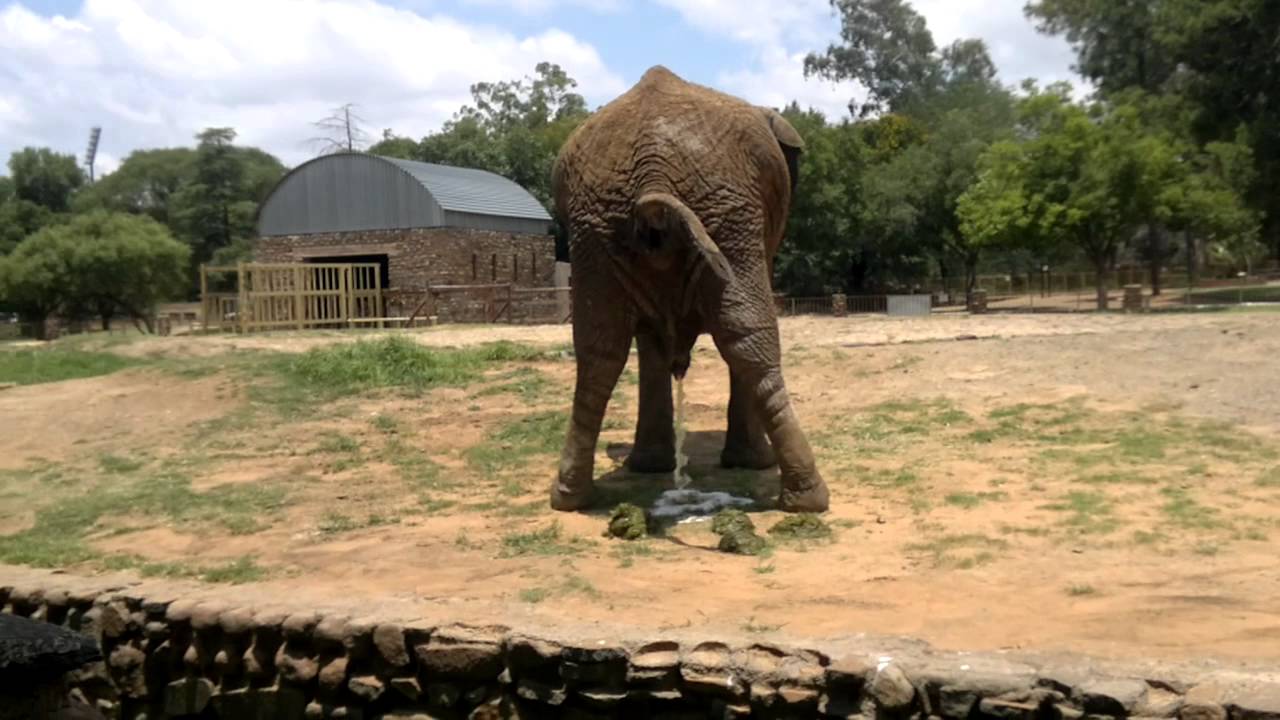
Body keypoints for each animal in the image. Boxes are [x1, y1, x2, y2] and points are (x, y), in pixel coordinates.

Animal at [548, 65, 830, 514]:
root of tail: (653, 174)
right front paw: (750, 465)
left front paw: (651, 467)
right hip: (727, 216)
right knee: (749, 341)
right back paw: (808, 498)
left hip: (595, 232)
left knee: (598, 350)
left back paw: (569, 497)